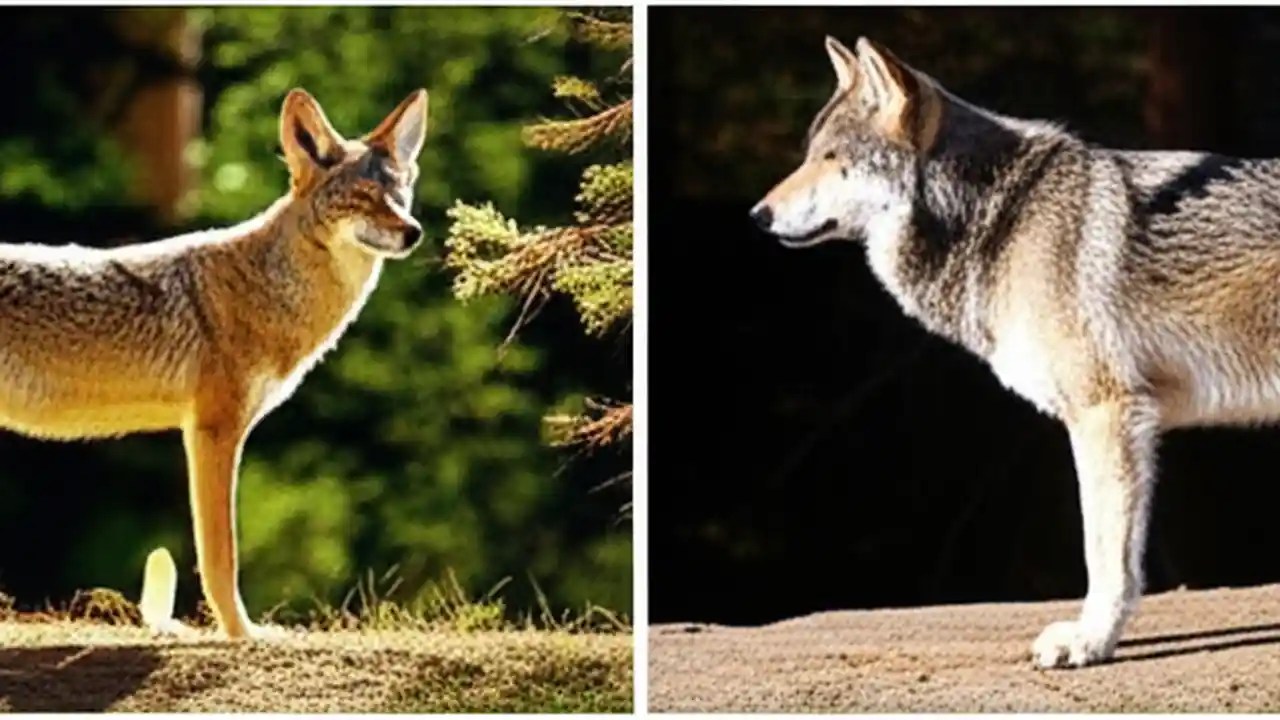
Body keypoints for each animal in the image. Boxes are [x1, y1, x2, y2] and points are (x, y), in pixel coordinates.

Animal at [0, 87, 427, 639]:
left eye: (402, 194)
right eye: (363, 196)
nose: (413, 232)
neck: (268, 288)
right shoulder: (214, 429)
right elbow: (221, 557)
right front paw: (243, 633)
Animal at [752, 35, 1280, 669]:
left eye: (832, 158)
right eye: (811, 154)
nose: (757, 215)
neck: (1002, 218)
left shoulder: (1106, 415)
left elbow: (1104, 553)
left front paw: (1090, 641)